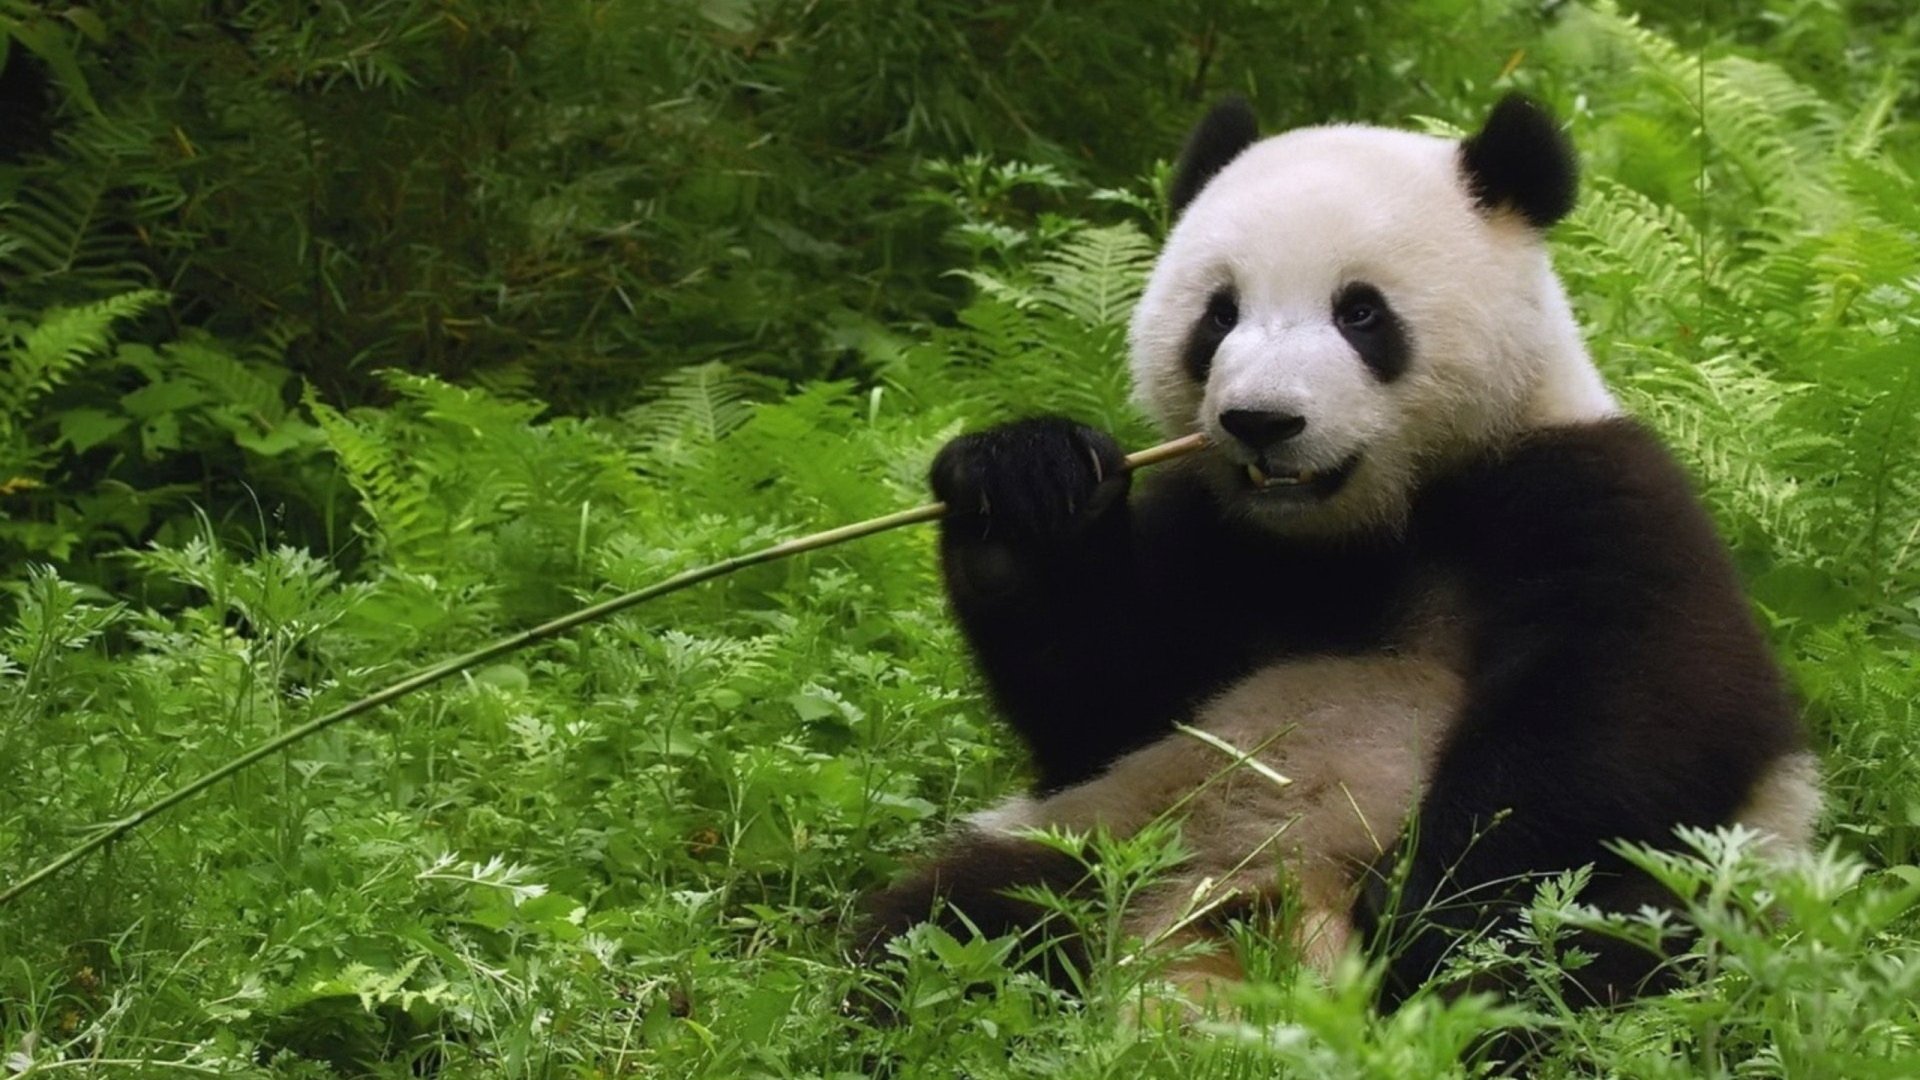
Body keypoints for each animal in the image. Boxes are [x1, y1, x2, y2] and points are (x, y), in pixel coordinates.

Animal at [859, 94, 1822, 1010]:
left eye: (1361, 313)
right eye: (1218, 315)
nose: (1262, 421)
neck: (1361, 528)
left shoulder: (1589, 492)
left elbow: (1635, 712)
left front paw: (1424, 904)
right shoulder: (1214, 537)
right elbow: (1101, 698)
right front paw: (1021, 484)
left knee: (1584, 951)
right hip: (1118, 827)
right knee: (950, 926)